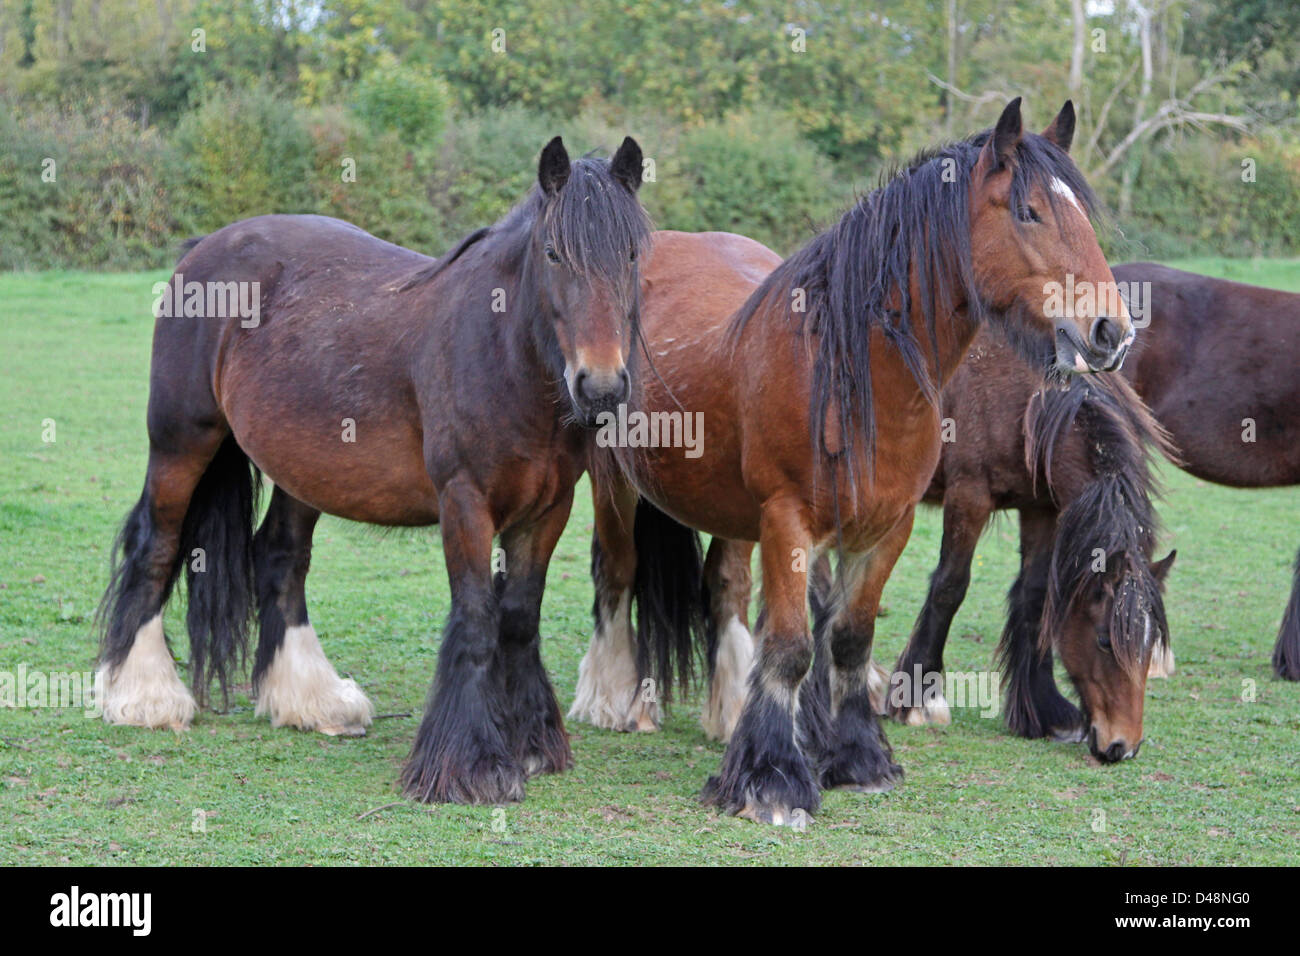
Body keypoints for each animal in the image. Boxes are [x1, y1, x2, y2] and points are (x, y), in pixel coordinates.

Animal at [95, 136, 651, 805]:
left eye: (631, 253)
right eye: (552, 253)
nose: (601, 387)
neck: (501, 351)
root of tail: (205, 248)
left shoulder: (549, 509)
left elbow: (518, 616)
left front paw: (532, 744)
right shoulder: (464, 501)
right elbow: (477, 615)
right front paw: (470, 765)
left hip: (302, 469)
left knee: (278, 557)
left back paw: (311, 699)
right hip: (182, 442)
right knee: (156, 543)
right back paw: (143, 695)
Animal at [572, 98, 1135, 825]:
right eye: (1029, 212)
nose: (1112, 332)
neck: (848, 367)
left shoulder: (887, 526)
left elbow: (848, 637)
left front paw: (858, 758)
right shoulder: (788, 521)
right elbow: (790, 648)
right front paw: (773, 782)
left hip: (729, 512)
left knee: (724, 590)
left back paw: (727, 715)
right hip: (615, 486)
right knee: (615, 575)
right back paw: (616, 703)